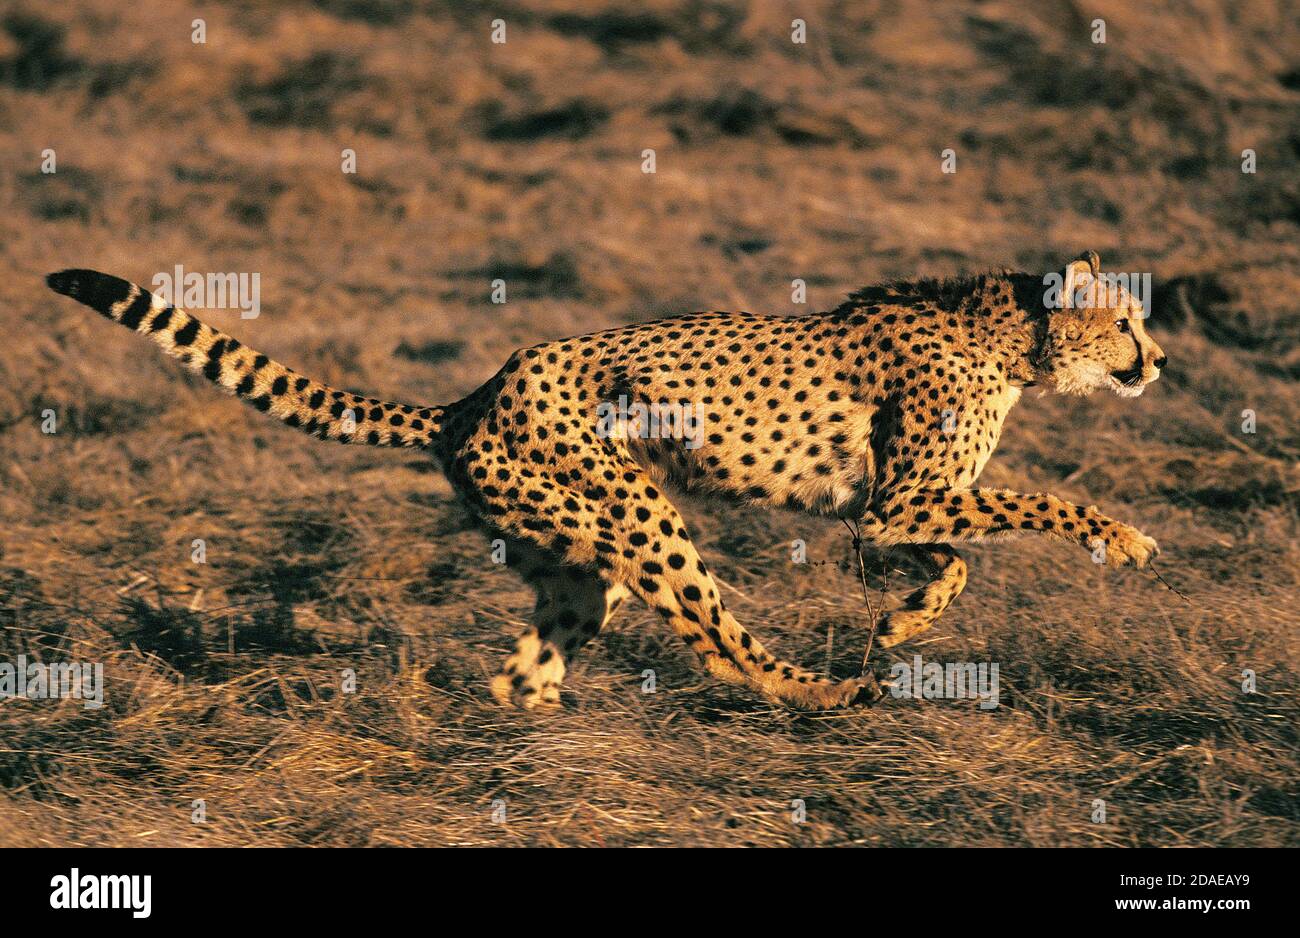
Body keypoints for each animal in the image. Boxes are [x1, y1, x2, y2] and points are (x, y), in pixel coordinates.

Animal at [46, 250, 1166, 711]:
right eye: (1125, 321)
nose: (1156, 362)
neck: (1011, 336)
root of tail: (471, 396)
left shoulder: (883, 512)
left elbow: (948, 560)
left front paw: (903, 616)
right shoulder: (904, 496)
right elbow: (1034, 503)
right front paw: (1124, 539)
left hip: (588, 556)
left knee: (523, 668)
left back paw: (532, 735)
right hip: (645, 518)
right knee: (723, 645)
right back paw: (820, 691)